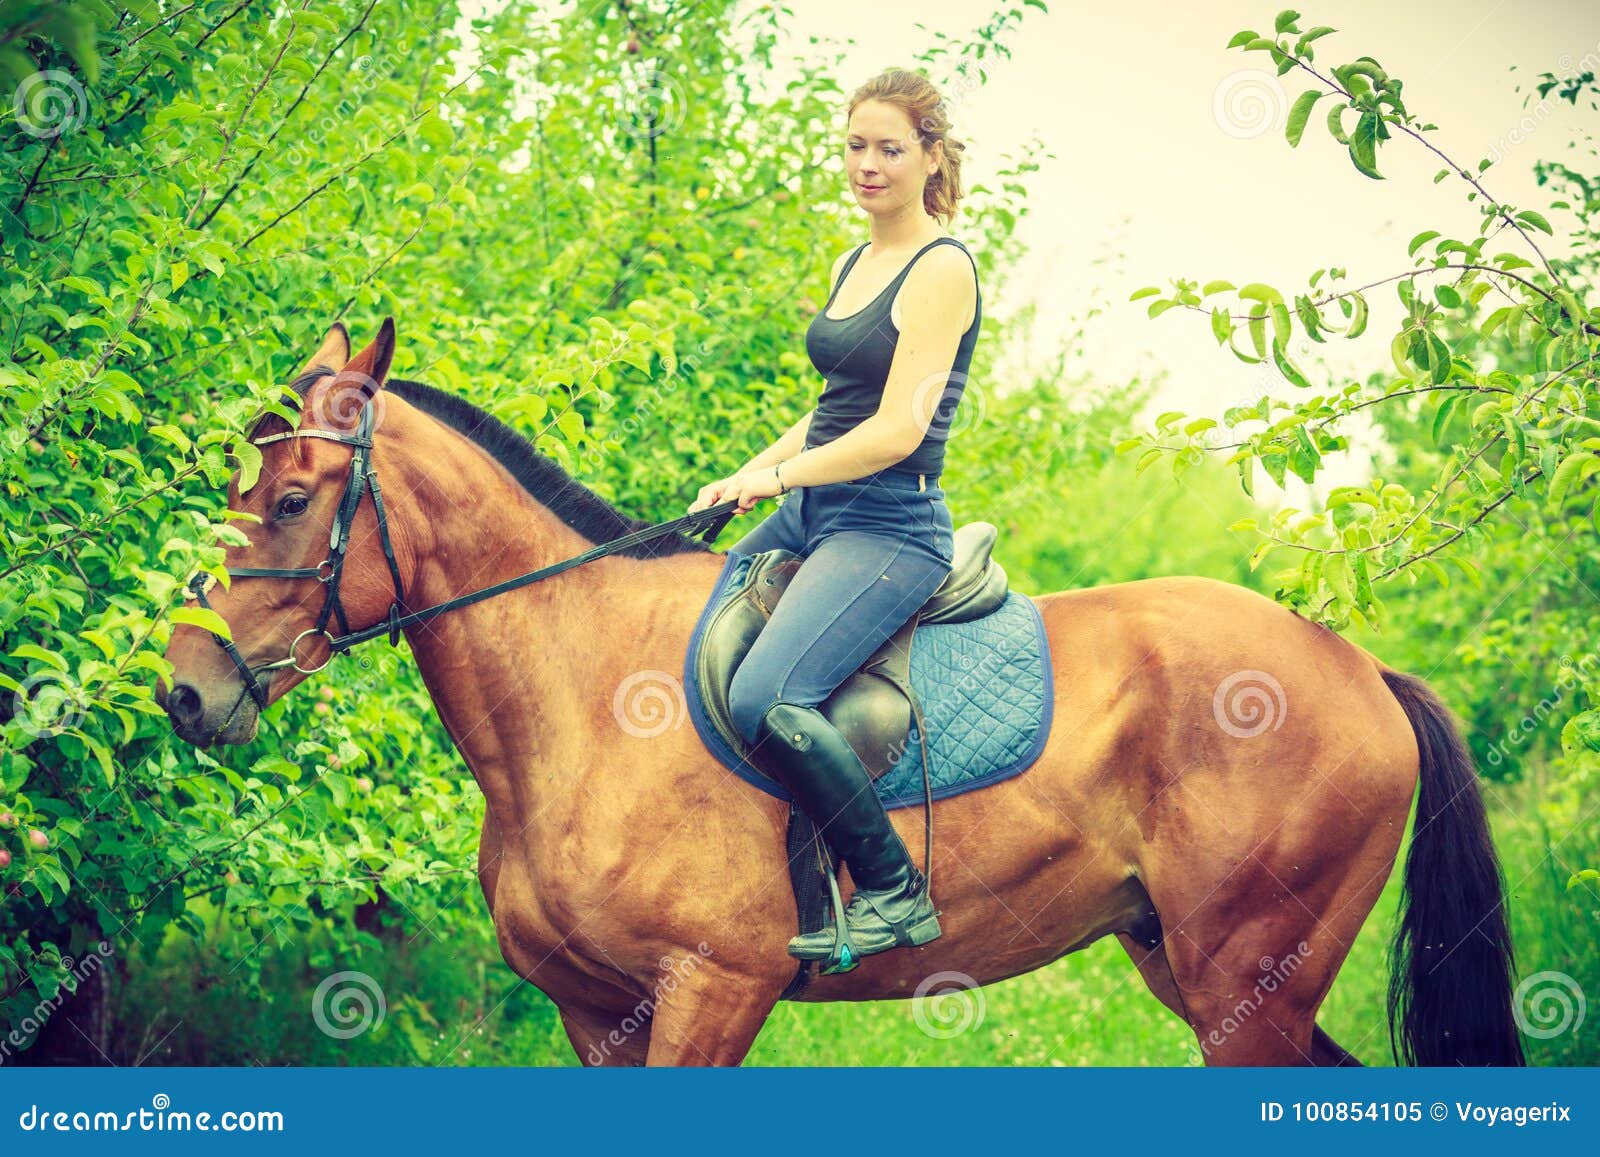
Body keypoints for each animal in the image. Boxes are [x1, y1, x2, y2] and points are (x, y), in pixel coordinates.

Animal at [156, 319, 1525, 1066]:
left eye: (291, 499)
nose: (183, 691)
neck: (582, 699)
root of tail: (1356, 666)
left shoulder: (710, 988)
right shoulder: (595, 1013)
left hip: (1249, 973)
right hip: (1196, 965)